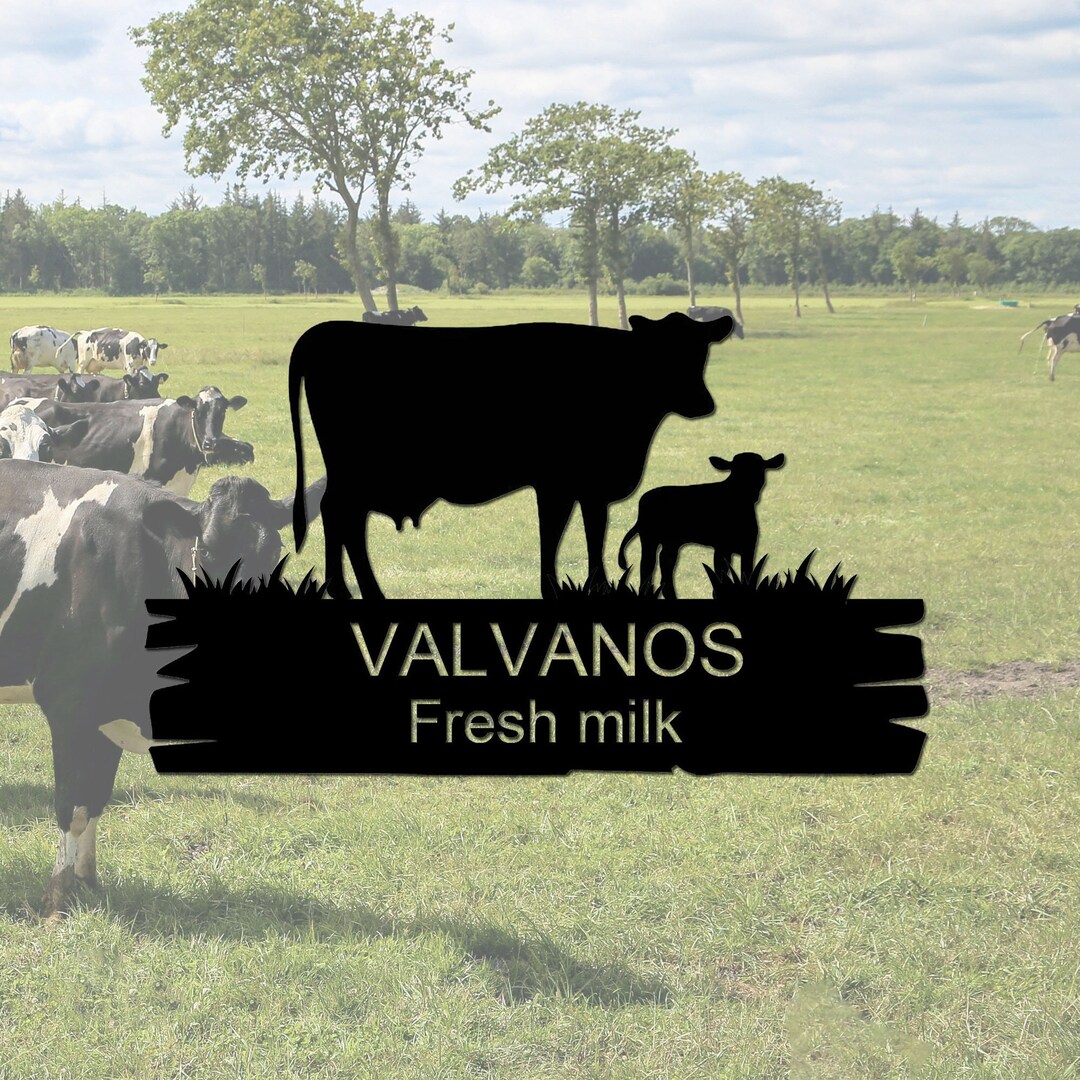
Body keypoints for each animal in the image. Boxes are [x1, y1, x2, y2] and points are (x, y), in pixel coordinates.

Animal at [0, 459, 326, 916]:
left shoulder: (107, 710)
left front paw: (88, 884)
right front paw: (57, 901)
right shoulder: (68, 702)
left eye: (272, 553)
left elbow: (96, 798)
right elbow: (71, 805)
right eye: (205, 551)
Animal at [289, 311, 736, 600]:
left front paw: (591, 587)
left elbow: (588, 531)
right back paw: (357, 591)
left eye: (702, 352)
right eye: (662, 352)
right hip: (355, 471)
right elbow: (557, 532)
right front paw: (558, 589)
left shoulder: (587, 485)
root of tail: (323, 331)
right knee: (340, 514)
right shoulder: (558, 481)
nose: (702, 403)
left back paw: (348, 589)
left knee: (340, 516)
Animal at [618, 452, 786, 598]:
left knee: (665, 562)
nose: (751, 491)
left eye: (759, 469)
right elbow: (720, 576)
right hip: (649, 538)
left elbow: (748, 576)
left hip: (671, 542)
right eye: (735, 471)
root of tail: (644, 498)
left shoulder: (748, 548)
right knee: (647, 565)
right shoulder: (721, 547)